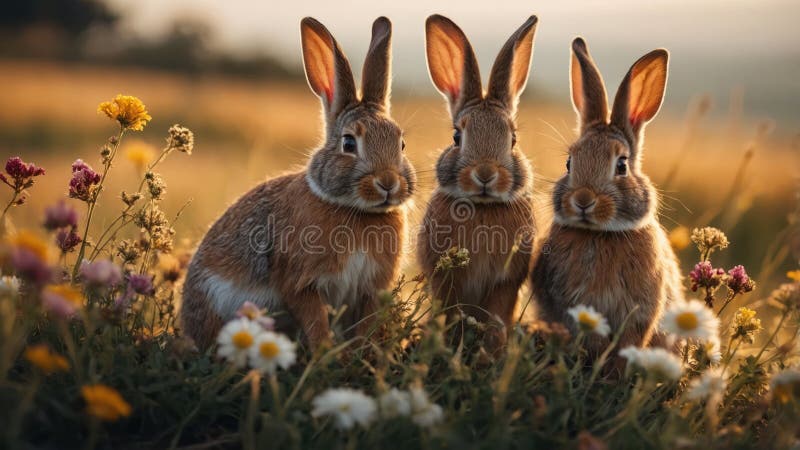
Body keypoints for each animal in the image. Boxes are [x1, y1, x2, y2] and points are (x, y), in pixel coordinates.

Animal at [181, 17, 416, 350]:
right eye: (348, 143)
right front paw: (326, 352)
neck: (358, 212)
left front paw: (361, 353)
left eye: (402, 144)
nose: (388, 182)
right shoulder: (301, 282)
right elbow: (315, 319)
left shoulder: (371, 289)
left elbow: (364, 325)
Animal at [417, 14, 538, 353]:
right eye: (456, 136)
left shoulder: (505, 283)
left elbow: (496, 316)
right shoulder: (447, 280)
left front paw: (493, 351)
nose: (485, 174)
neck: (484, 207)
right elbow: (450, 310)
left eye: (513, 139)